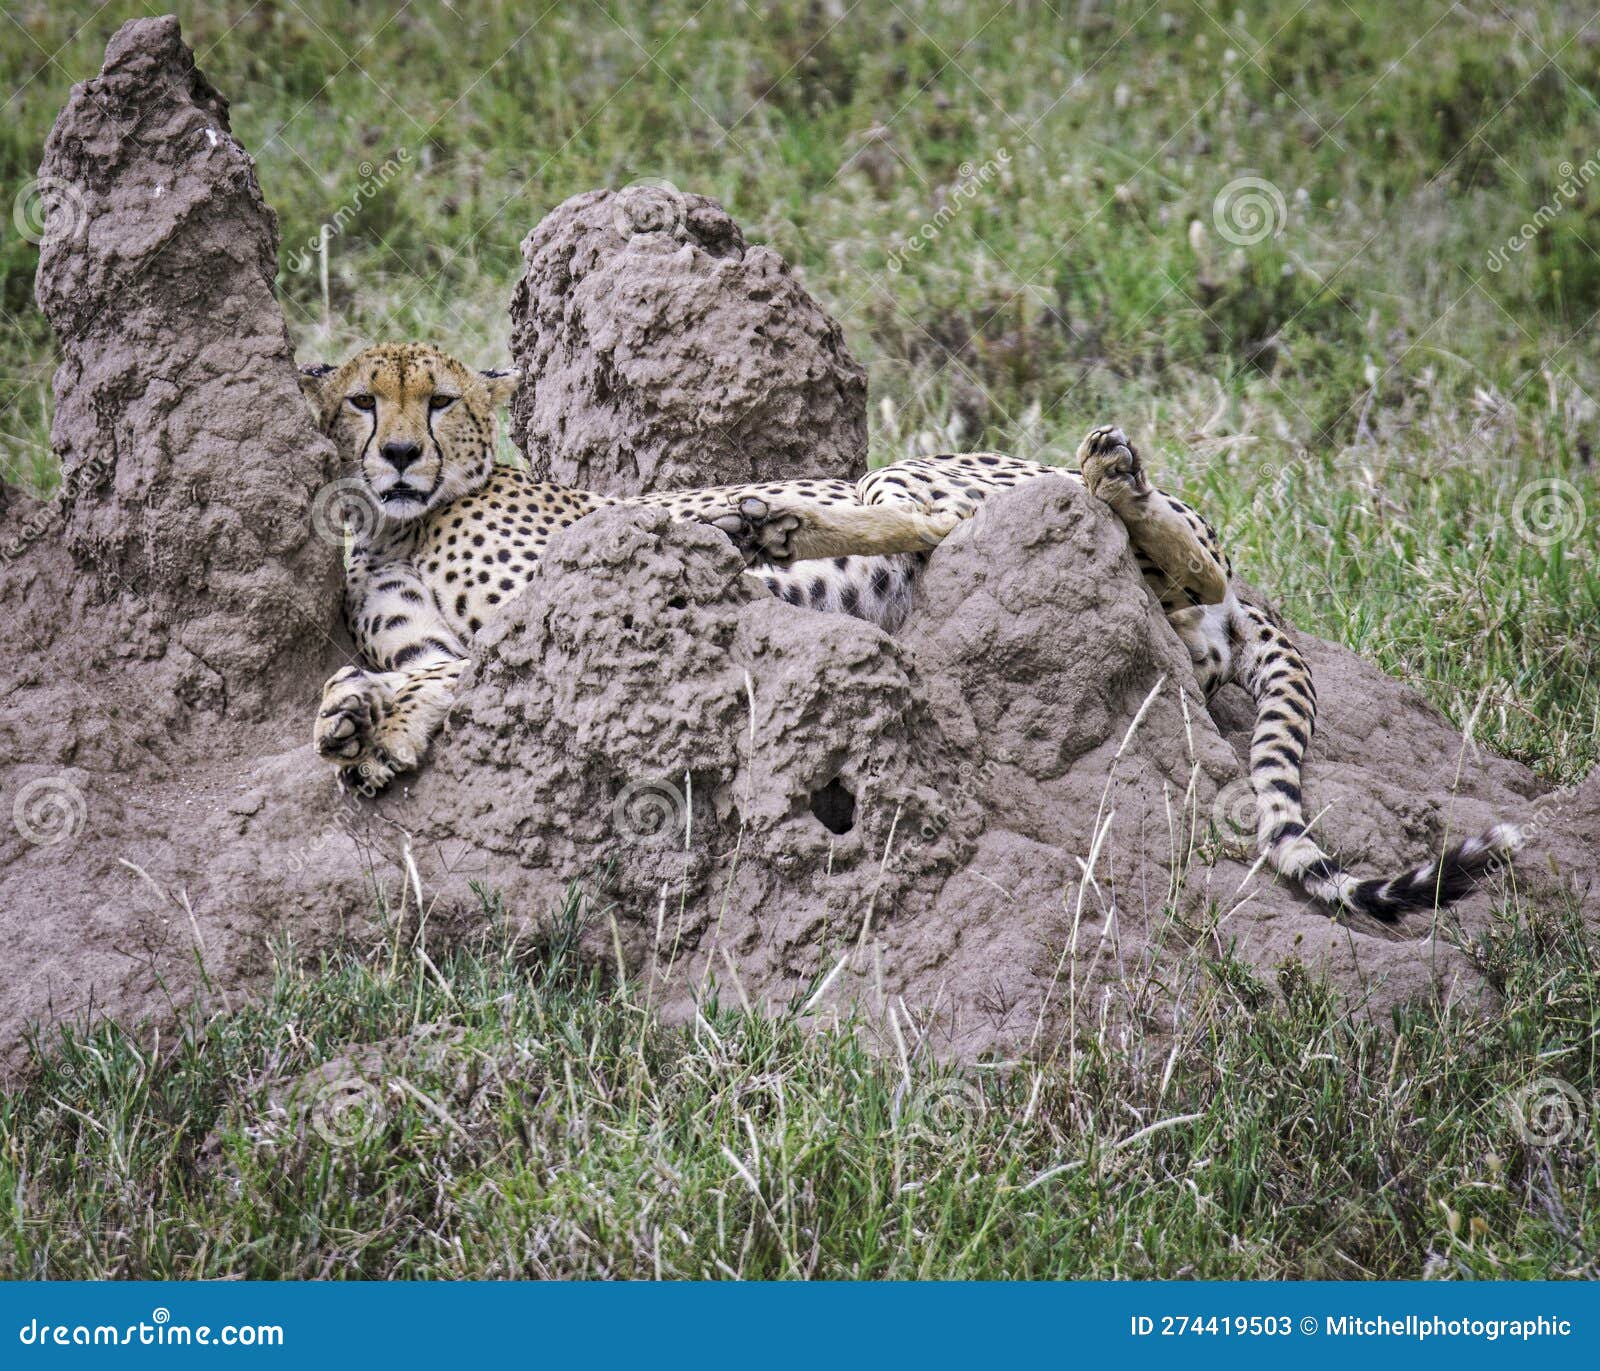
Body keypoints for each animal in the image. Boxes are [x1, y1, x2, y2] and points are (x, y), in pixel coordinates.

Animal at [299, 342, 1517, 922]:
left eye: (439, 401)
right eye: (364, 401)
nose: (399, 454)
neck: (403, 521)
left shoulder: (546, 602)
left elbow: (469, 667)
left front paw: (365, 717)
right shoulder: (459, 650)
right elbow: (424, 683)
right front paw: (361, 723)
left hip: (942, 475)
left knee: (1069, 529)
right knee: (1166, 579)